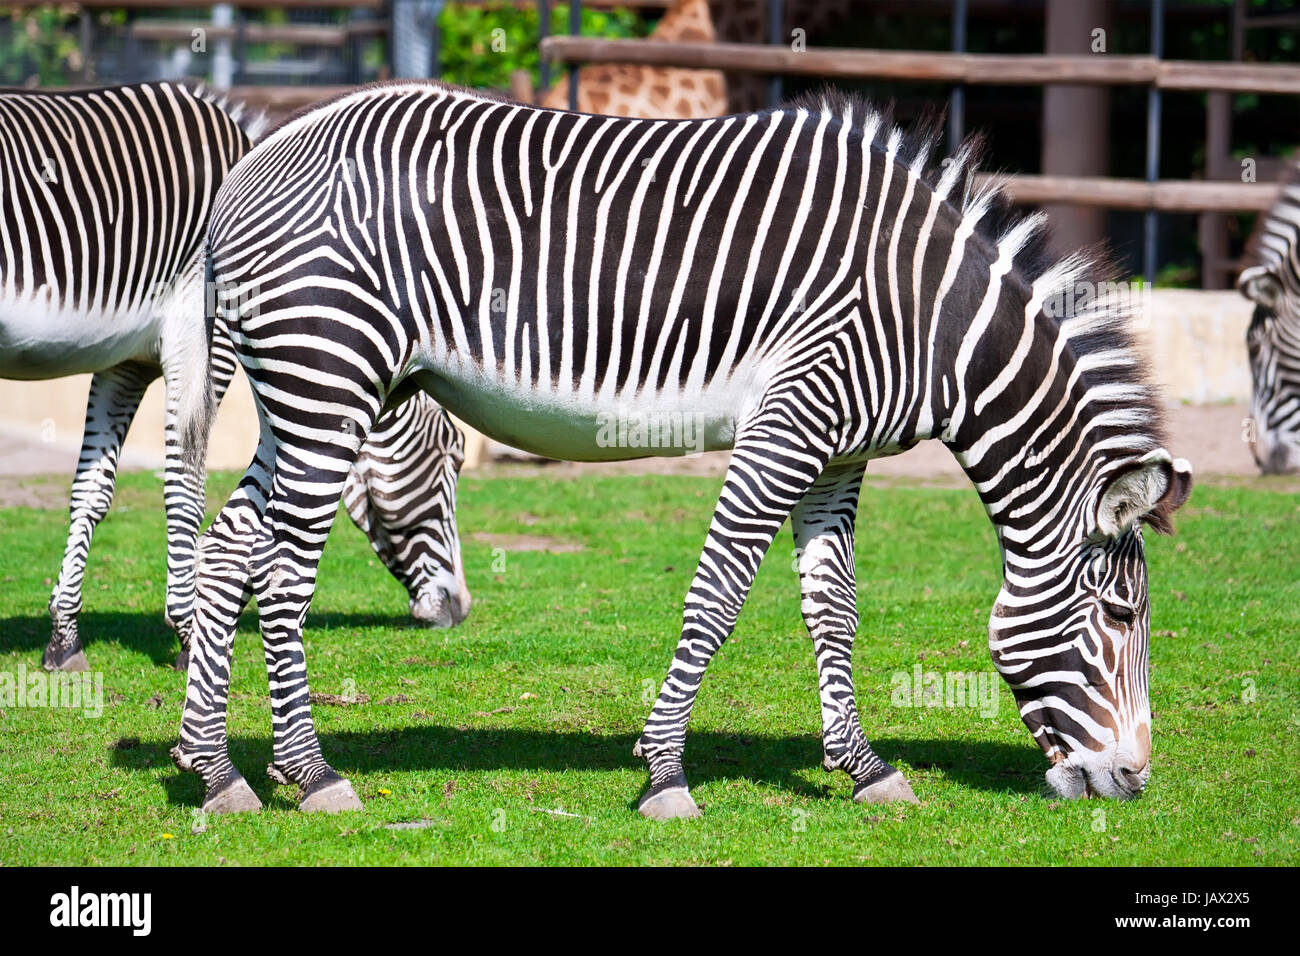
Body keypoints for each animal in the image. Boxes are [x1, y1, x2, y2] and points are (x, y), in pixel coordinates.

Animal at [0, 81, 469, 674]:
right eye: (452, 453)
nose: (459, 608)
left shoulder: (124, 363)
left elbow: (92, 490)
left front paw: (64, 638)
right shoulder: (201, 340)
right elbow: (185, 484)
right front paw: (186, 632)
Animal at [169, 82, 1193, 816]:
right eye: (1118, 618)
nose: (1134, 782)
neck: (933, 319)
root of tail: (258, 158)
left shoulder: (839, 454)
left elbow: (834, 610)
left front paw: (864, 769)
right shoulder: (791, 423)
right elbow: (718, 596)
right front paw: (665, 774)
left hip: (318, 392)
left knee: (229, 552)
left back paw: (216, 772)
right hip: (329, 375)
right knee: (284, 572)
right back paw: (312, 776)